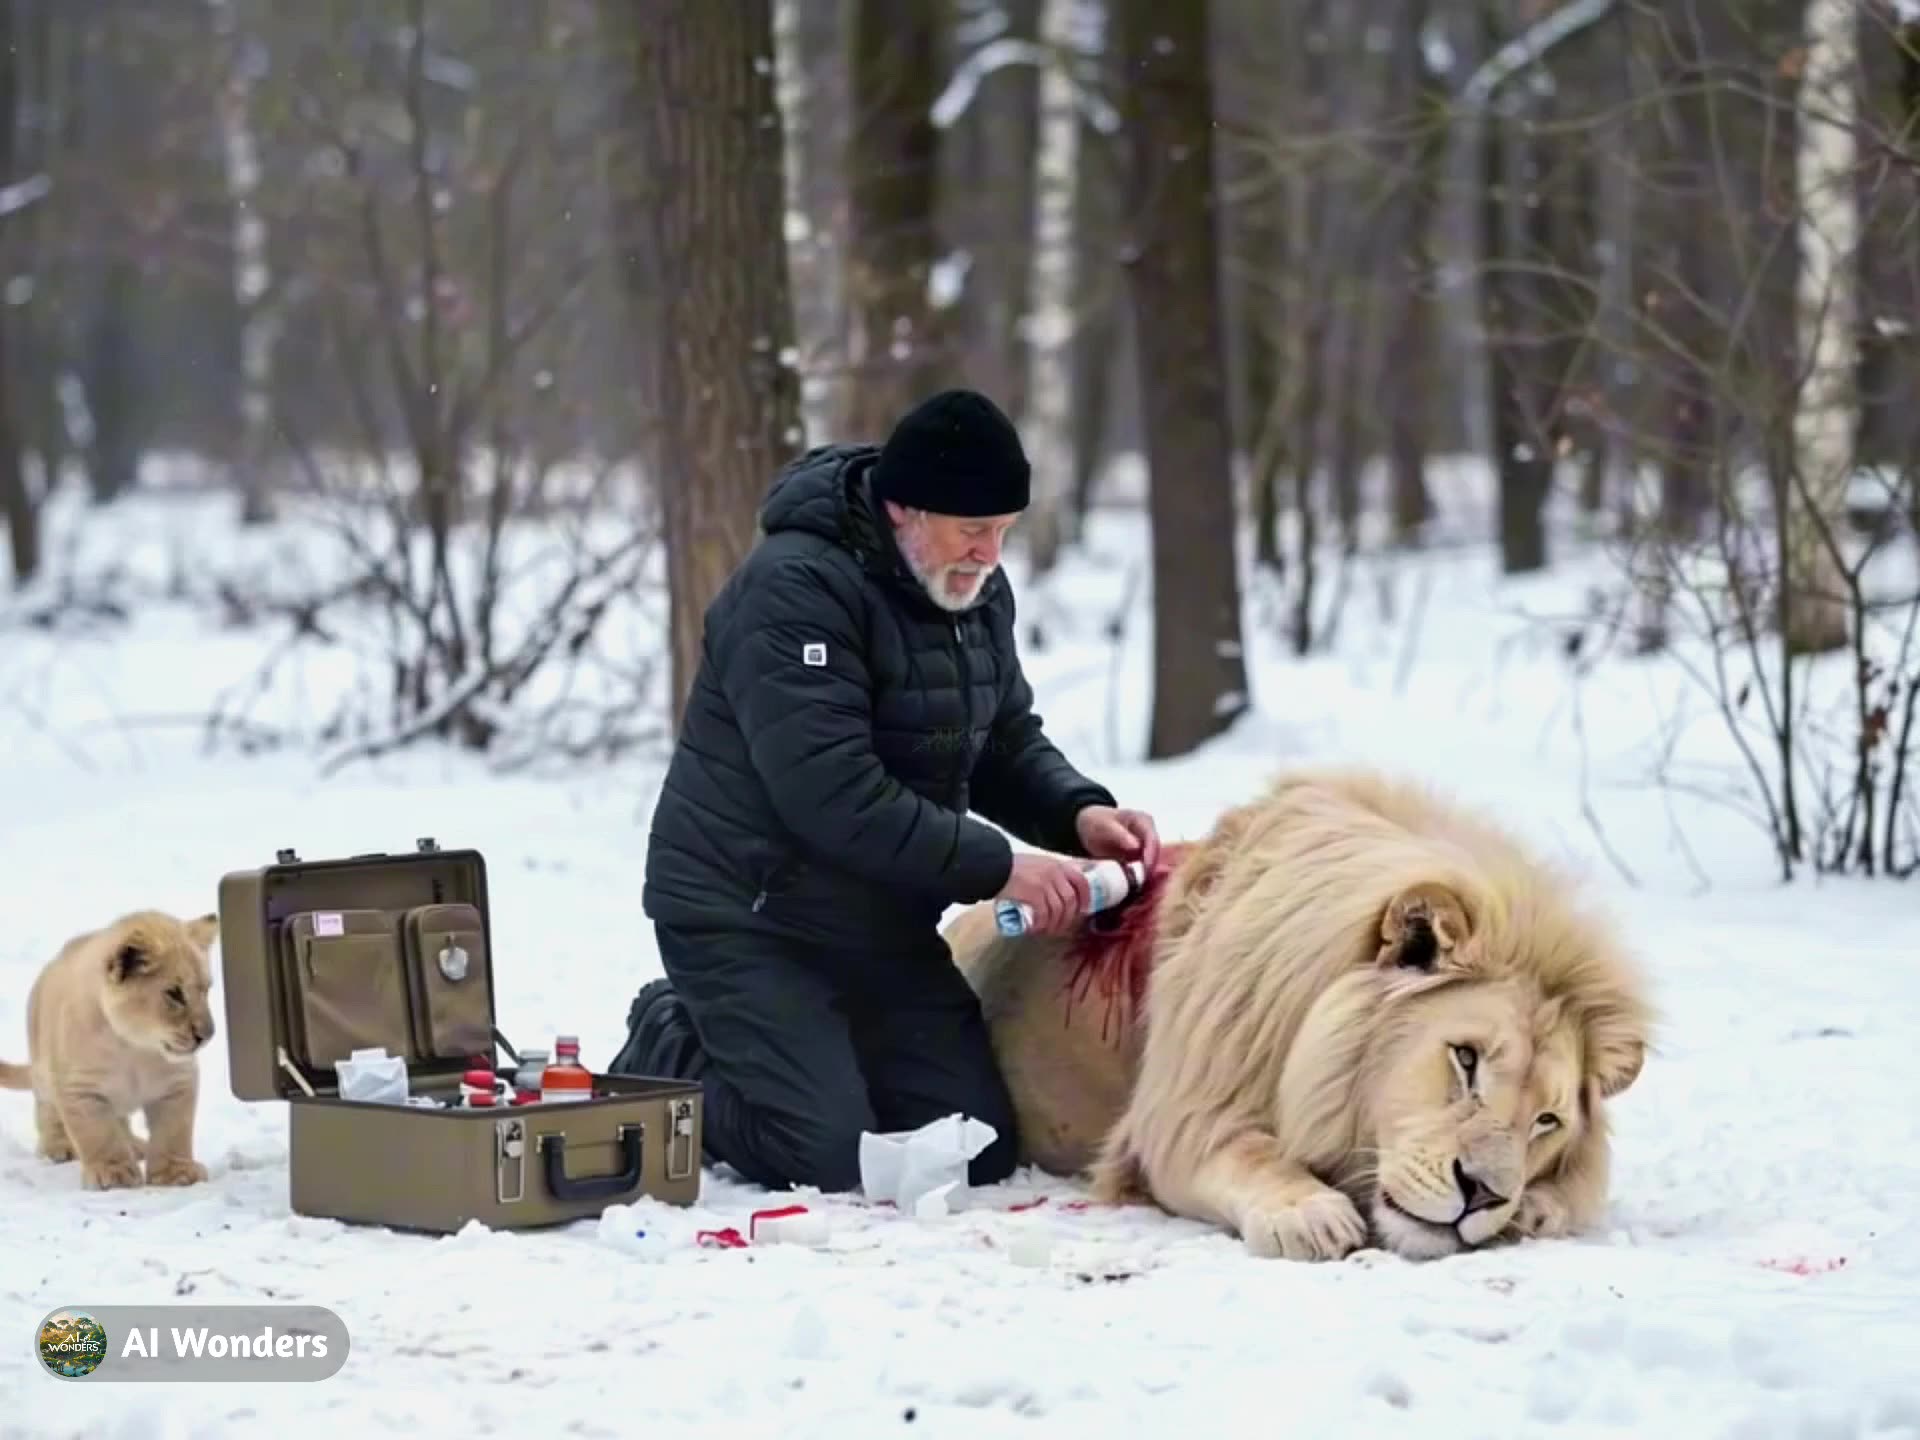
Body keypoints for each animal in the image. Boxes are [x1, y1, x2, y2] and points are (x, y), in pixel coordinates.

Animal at [0, 908, 220, 1190]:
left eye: (206, 989)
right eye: (174, 993)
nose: (207, 1035)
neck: (132, 1048)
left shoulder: (177, 1083)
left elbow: (174, 1132)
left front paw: (176, 1173)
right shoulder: (81, 1089)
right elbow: (99, 1135)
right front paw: (114, 1174)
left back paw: (137, 1147)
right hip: (43, 1068)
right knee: (46, 1108)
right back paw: (59, 1147)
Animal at [947, 766, 1654, 1261]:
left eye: (1546, 1121)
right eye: (1465, 1059)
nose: (1483, 1192)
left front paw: (1533, 1209)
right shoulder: (1178, 1115)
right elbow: (1245, 1154)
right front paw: (1310, 1215)